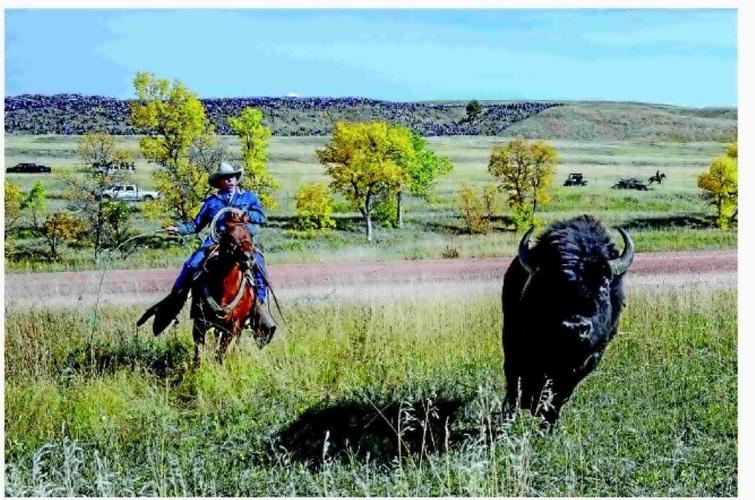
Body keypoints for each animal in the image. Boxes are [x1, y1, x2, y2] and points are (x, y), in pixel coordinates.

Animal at [502, 215, 634, 428]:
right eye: (551, 284)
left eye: (604, 282)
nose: (575, 327)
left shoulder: (586, 362)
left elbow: (559, 395)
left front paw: (547, 423)